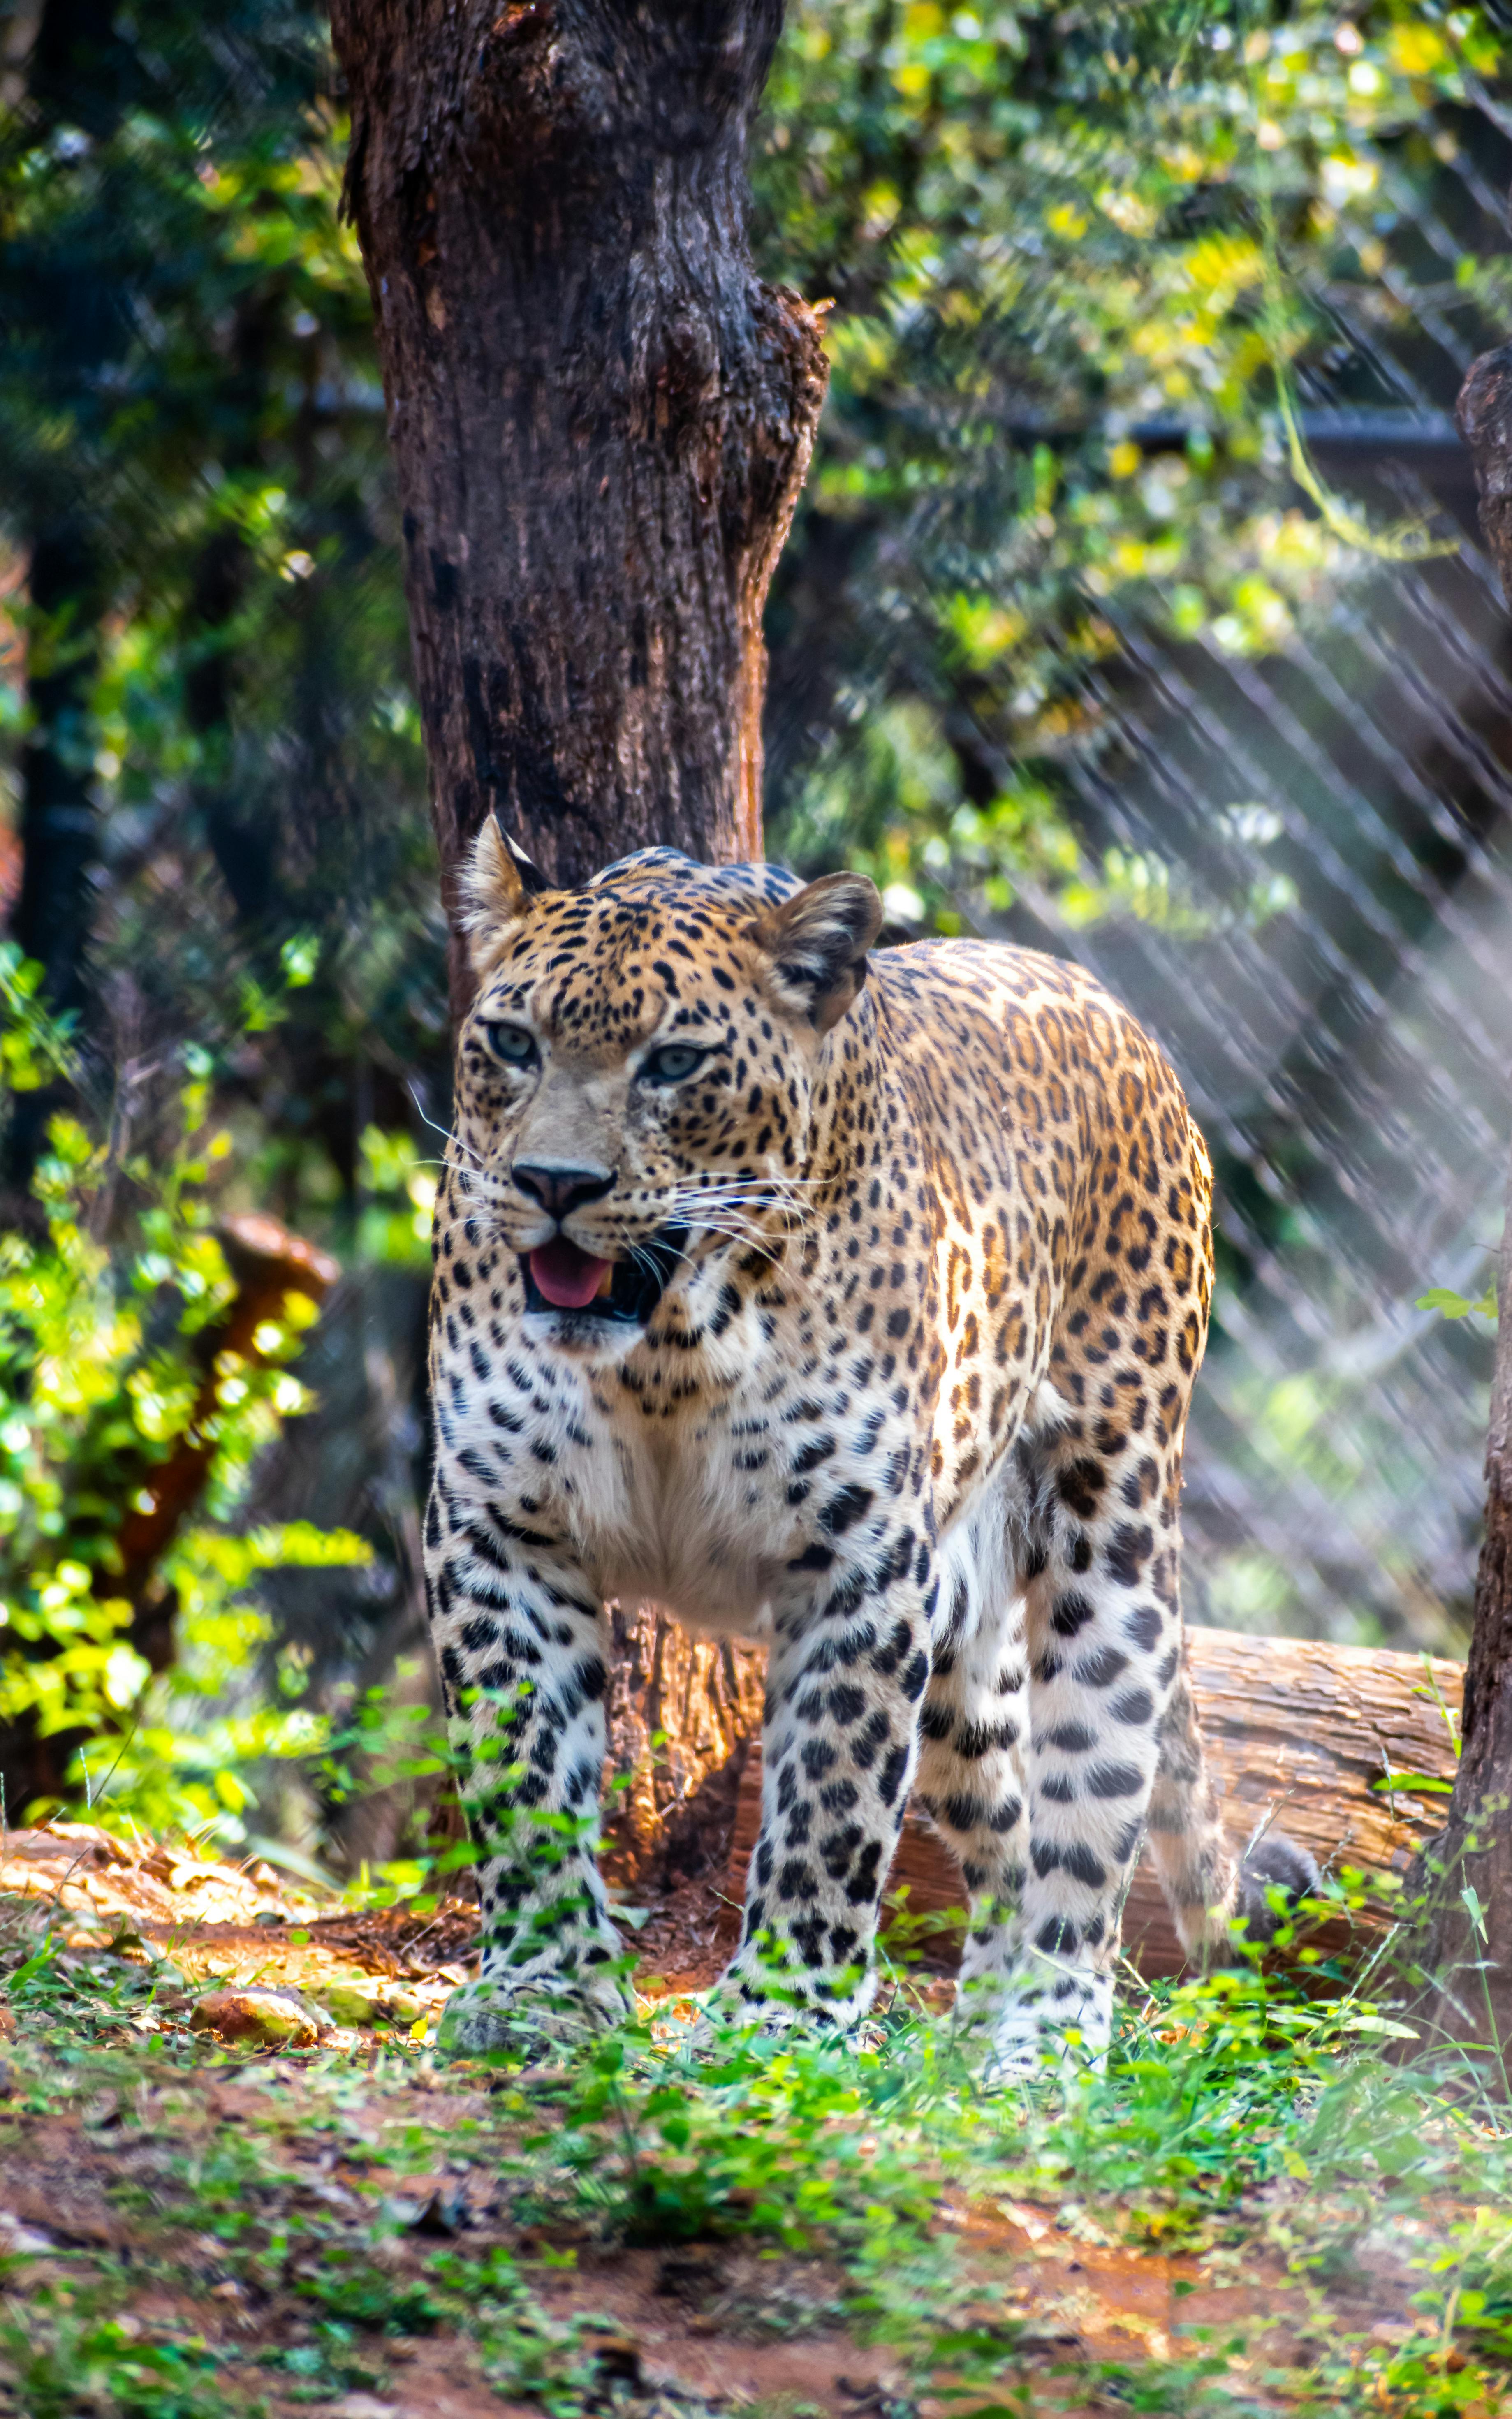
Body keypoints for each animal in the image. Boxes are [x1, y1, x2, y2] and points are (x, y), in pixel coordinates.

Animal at [423, 818, 1314, 2069]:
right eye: (511, 1041)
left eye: (673, 1064)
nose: (552, 1184)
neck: (665, 1355)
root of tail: (1111, 1009)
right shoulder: (500, 1526)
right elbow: (524, 1772)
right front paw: (543, 1987)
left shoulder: (857, 1565)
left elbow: (828, 1801)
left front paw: (778, 2016)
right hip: (962, 1647)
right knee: (1003, 1817)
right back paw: (974, 2028)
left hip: (1113, 1538)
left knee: (1087, 1817)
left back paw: (1041, 2043)